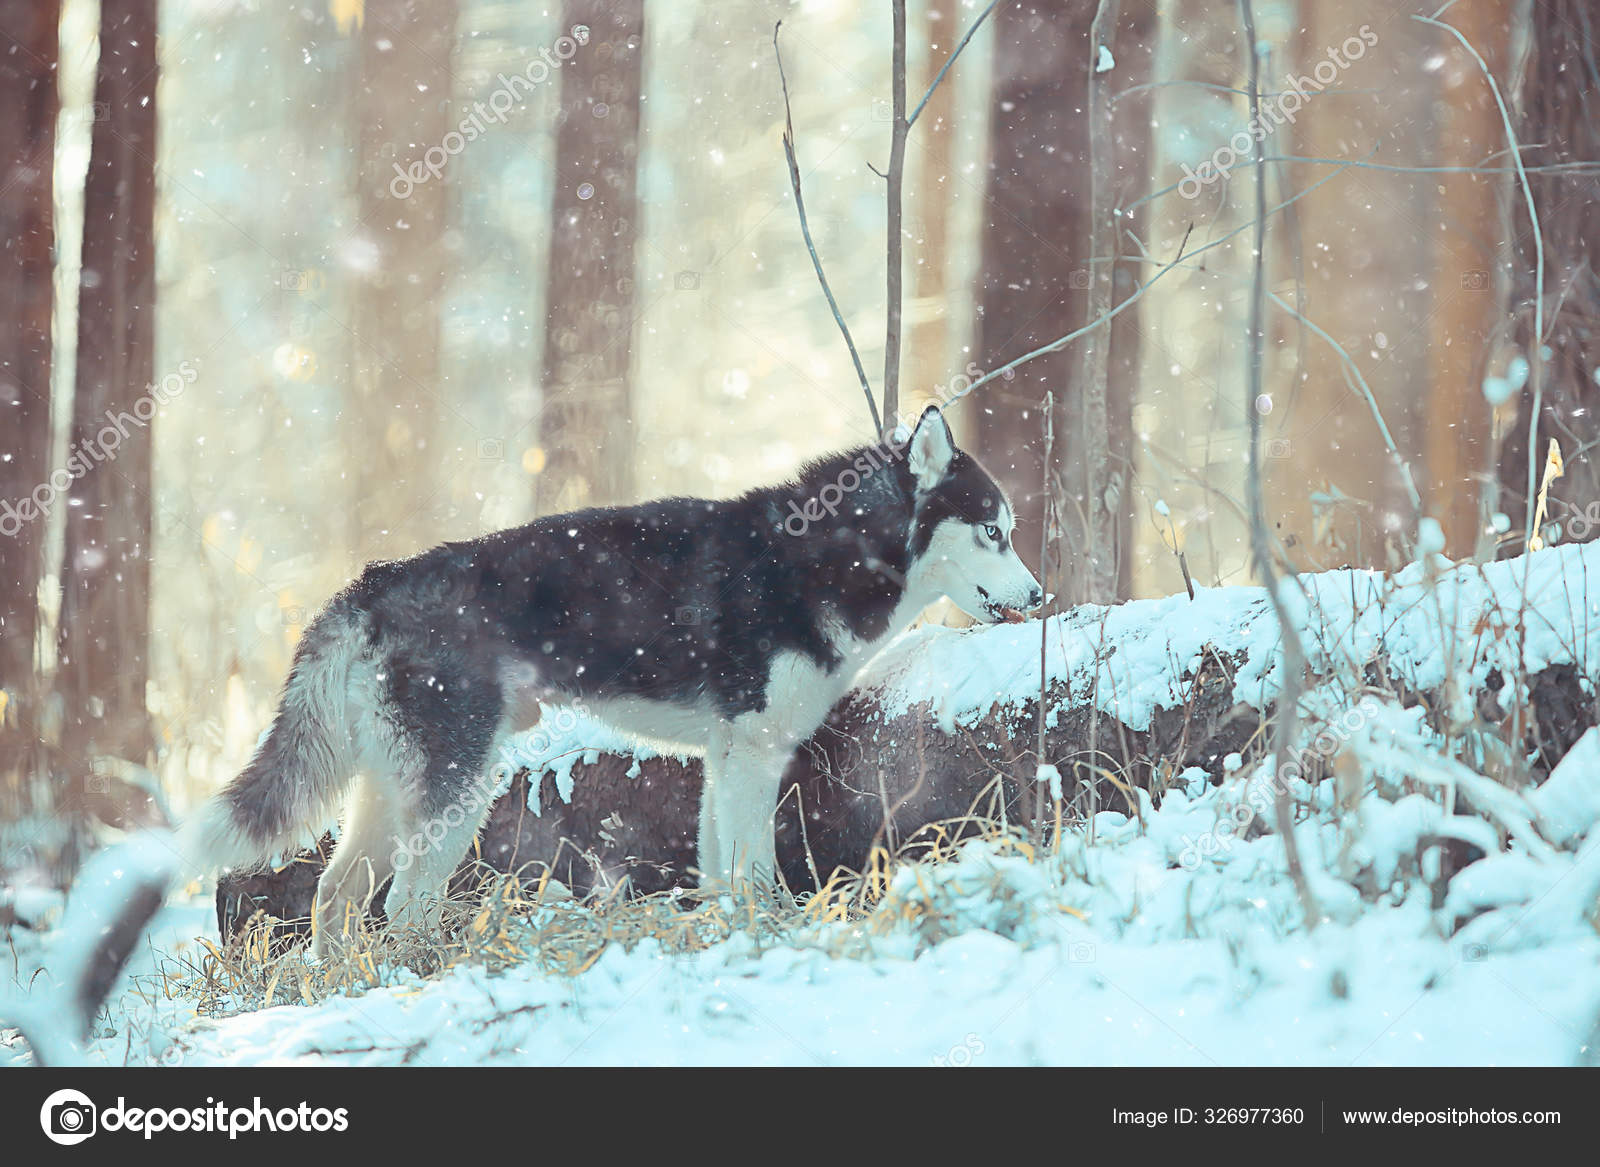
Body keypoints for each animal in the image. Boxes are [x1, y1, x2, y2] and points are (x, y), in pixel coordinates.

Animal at [184, 405, 1042, 953]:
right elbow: (756, 875)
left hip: (388, 793)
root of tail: (373, 583)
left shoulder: (725, 760)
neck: (824, 558)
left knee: (337, 899)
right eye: (993, 531)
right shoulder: (755, 756)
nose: (1038, 596)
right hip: (459, 790)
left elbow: (722, 871)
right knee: (402, 904)